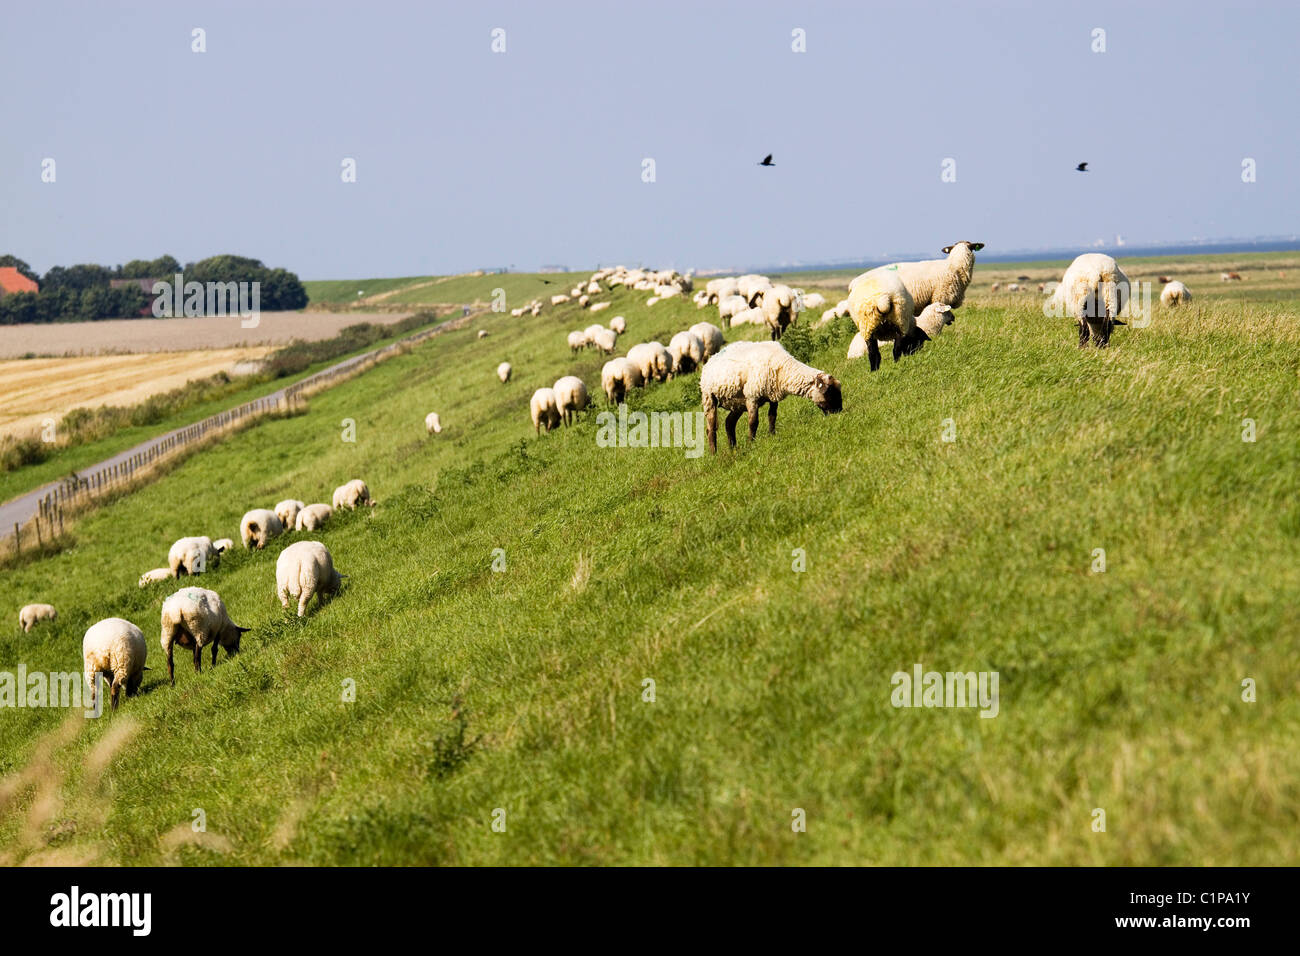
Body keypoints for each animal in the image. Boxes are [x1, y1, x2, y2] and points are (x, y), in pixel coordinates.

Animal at [700, 341, 843, 454]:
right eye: (830, 392)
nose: (839, 412)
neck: (784, 369)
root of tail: (711, 359)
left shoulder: (773, 396)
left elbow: (772, 416)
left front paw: (772, 435)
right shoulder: (752, 397)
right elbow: (753, 422)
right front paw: (751, 443)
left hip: (737, 402)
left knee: (729, 423)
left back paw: (733, 448)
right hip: (709, 398)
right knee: (710, 429)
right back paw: (714, 453)